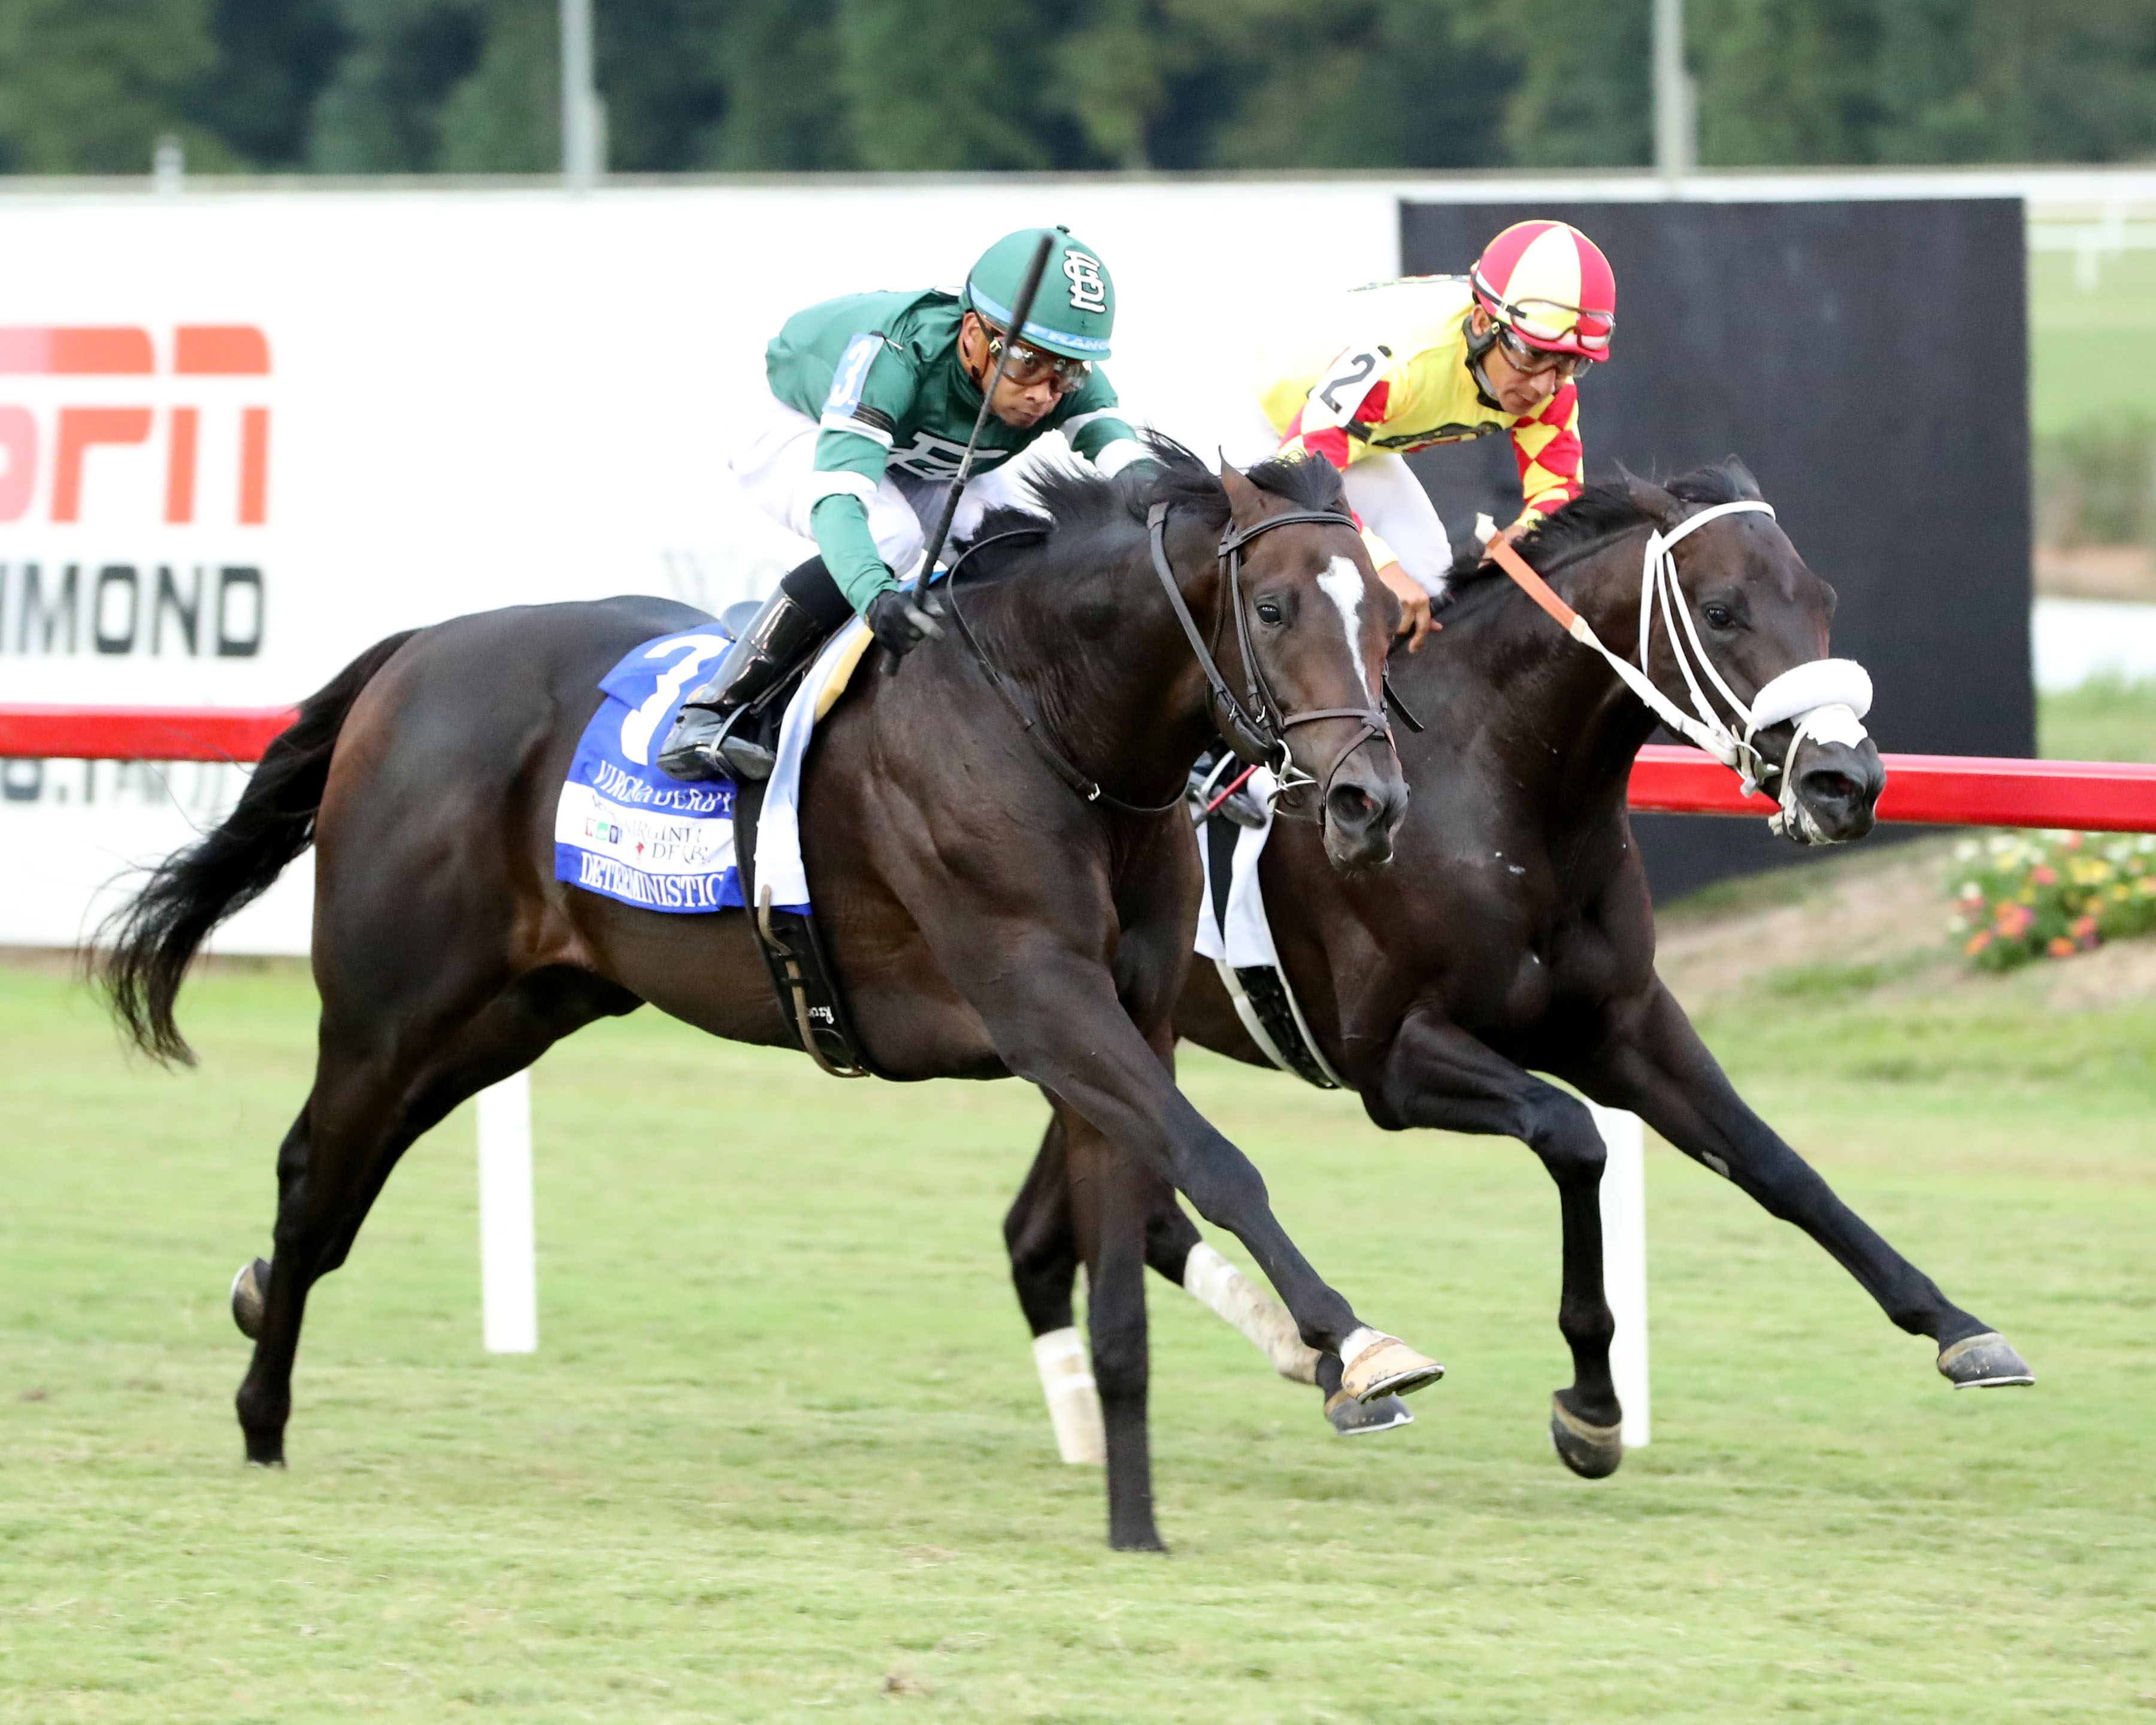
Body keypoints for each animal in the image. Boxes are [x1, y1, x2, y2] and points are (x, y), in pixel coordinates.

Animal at [98, 441, 1439, 1552]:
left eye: (1388, 621)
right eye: (1273, 607)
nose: (1370, 803)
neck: (1052, 720)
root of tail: (415, 650)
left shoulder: (1127, 1019)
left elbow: (1127, 1262)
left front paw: (1136, 1524)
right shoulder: (1037, 996)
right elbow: (1221, 1165)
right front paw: (1355, 1347)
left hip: (520, 1008)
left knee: (339, 1183)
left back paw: (258, 1311)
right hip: (391, 1002)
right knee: (313, 1171)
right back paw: (262, 1413)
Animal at [1002, 461, 2033, 1508]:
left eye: (1821, 601)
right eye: (1720, 611)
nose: (1845, 783)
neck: (1493, 785)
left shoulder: (1620, 1024)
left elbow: (1776, 1164)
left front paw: (1958, 1329)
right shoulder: (1394, 1061)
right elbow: (1574, 1137)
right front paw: (1594, 1408)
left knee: (1054, 1232)